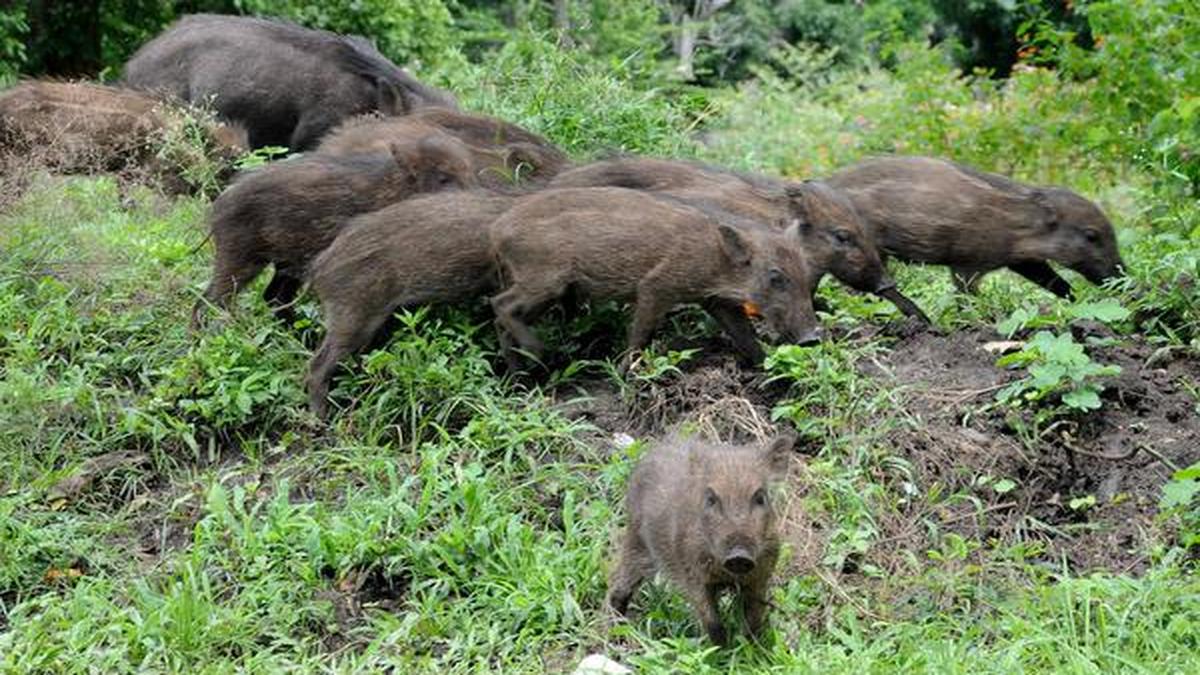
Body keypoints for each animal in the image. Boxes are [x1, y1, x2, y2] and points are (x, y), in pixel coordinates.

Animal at [192, 136, 476, 326]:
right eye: (443, 178)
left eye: (468, 171)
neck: (396, 188)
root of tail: (218, 206)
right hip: (239, 257)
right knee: (208, 301)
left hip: (286, 263)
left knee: (274, 297)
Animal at [488, 187, 822, 371]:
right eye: (775, 277)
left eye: (805, 273)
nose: (812, 338)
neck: (716, 259)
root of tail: (497, 231)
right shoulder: (655, 286)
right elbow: (641, 333)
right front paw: (624, 372)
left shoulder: (715, 301)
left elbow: (745, 336)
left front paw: (767, 368)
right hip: (544, 278)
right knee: (500, 304)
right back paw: (540, 353)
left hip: (548, 289)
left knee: (503, 319)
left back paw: (520, 376)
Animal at [608, 433, 794, 645]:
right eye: (711, 499)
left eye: (760, 497)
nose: (739, 555)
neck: (726, 574)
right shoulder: (693, 575)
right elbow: (711, 622)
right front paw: (721, 650)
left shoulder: (761, 576)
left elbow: (753, 620)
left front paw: (751, 647)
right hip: (637, 542)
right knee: (617, 583)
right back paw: (618, 634)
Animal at [824, 156, 1124, 300]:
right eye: (1091, 235)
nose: (1123, 277)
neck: (1020, 225)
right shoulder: (967, 262)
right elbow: (967, 293)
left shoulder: (1023, 260)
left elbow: (1054, 281)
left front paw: (1076, 301)